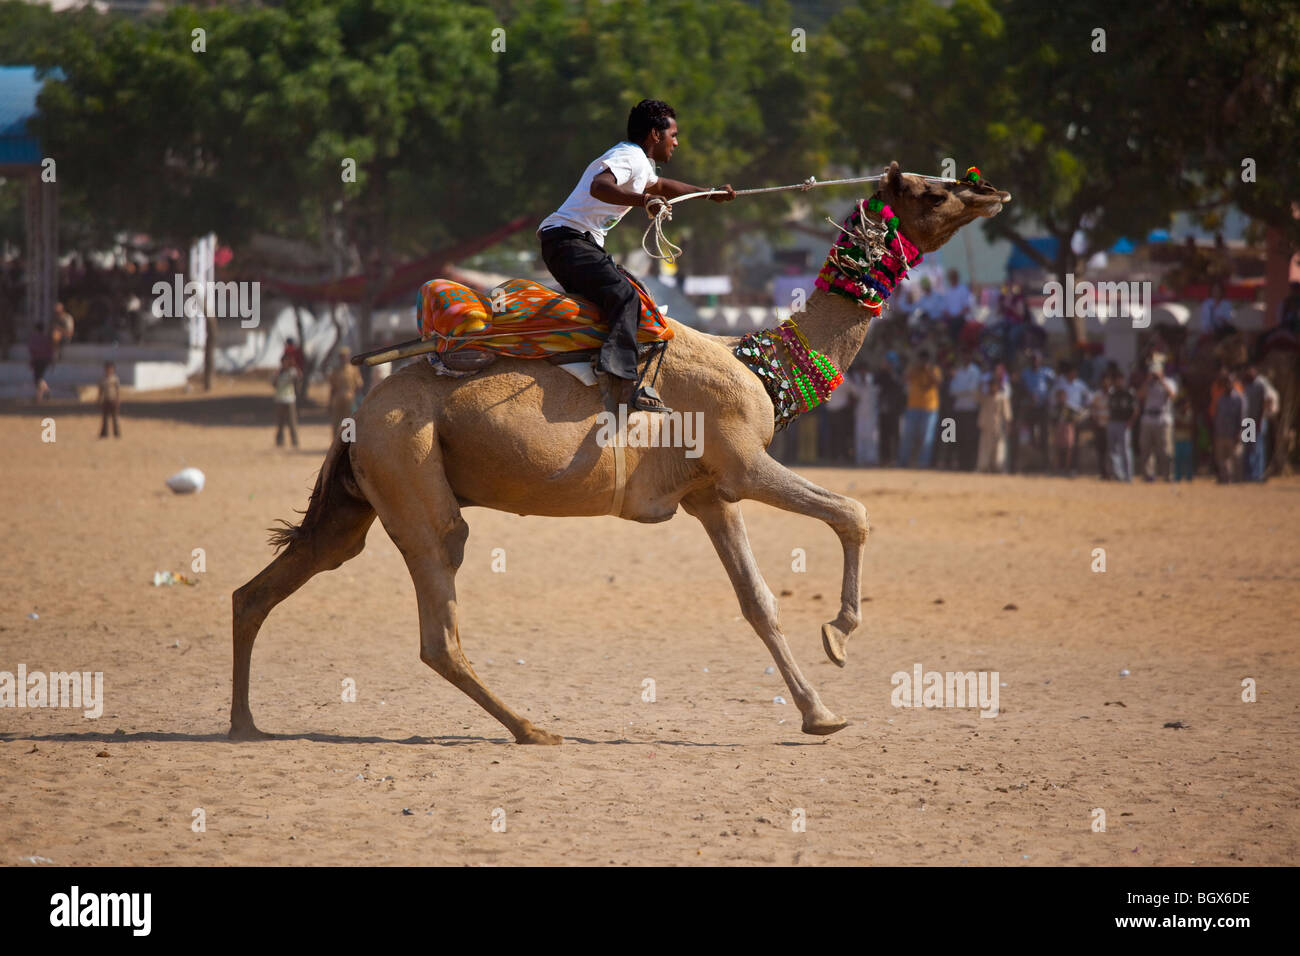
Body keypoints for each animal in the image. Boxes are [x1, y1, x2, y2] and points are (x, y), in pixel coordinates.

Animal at [230, 162, 1011, 744]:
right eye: (933, 191)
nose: (993, 190)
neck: (759, 365)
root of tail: (356, 416)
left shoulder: (710, 493)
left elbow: (758, 602)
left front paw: (820, 713)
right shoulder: (742, 460)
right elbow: (851, 510)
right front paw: (841, 634)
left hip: (359, 500)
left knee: (267, 585)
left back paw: (244, 723)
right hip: (410, 470)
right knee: (437, 621)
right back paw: (534, 729)